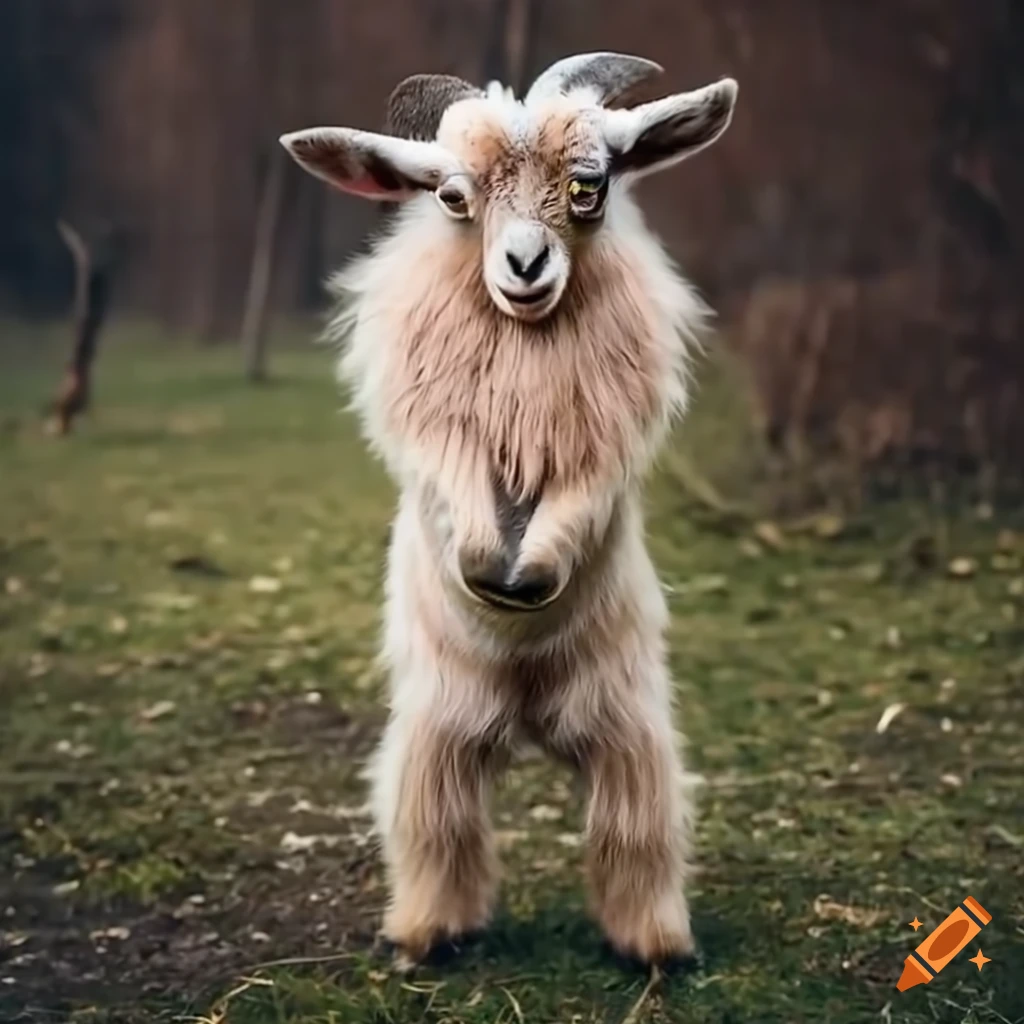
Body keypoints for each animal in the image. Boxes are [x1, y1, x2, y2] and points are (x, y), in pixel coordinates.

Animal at [281, 52, 737, 964]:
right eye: (453, 196)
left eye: (591, 185)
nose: (526, 266)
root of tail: (527, 720)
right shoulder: (443, 433)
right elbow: (454, 480)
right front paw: (489, 565)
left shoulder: (600, 445)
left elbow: (582, 490)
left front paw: (533, 569)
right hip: (439, 718)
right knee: (436, 814)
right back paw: (428, 934)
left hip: (624, 709)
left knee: (635, 817)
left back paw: (655, 944)